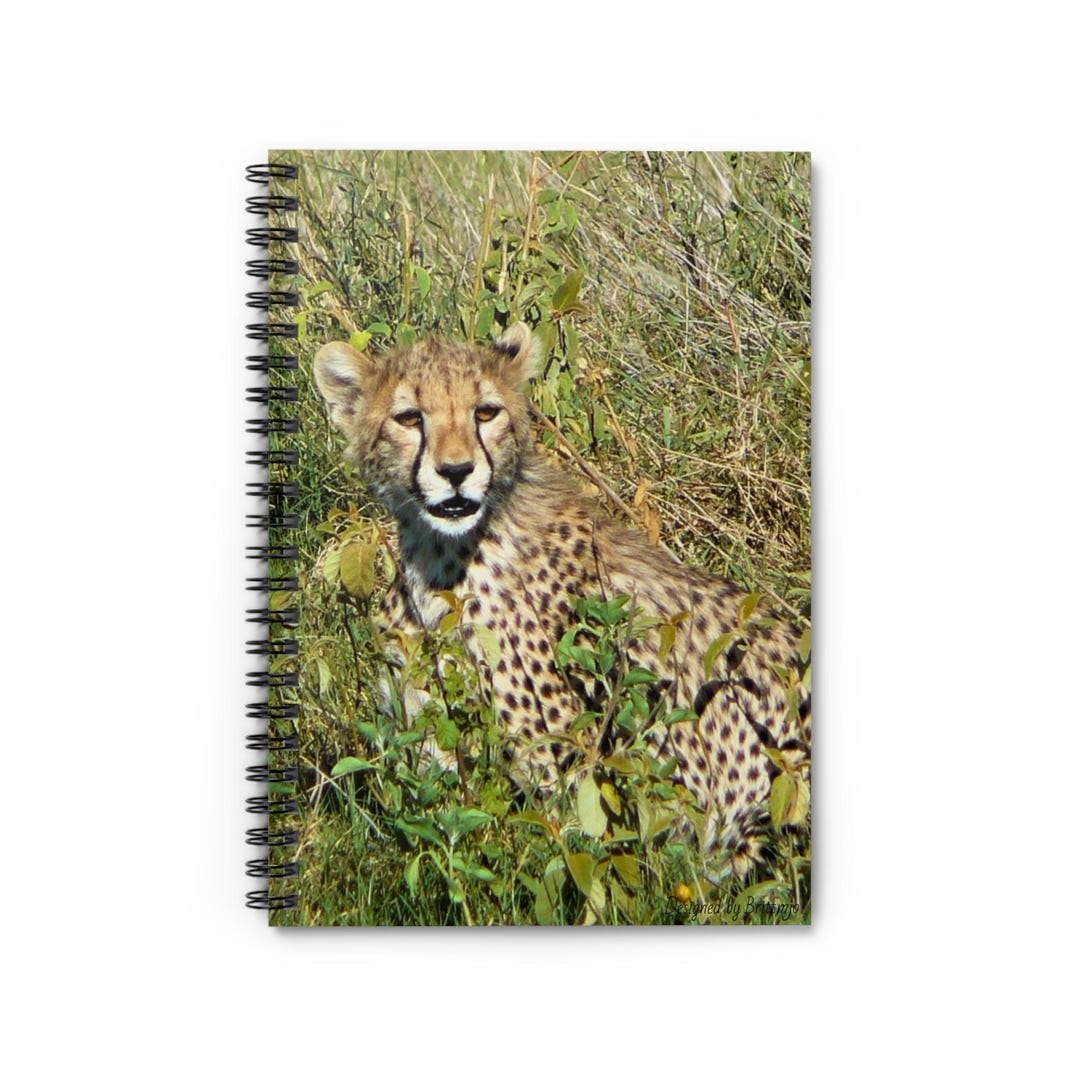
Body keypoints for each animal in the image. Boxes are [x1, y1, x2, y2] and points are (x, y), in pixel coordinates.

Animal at [313, 322, 810, 872]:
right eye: (408, 418)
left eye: (485, 412)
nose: (456, 470)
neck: (440, 556)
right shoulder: (426, 737)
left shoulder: (561, 761)